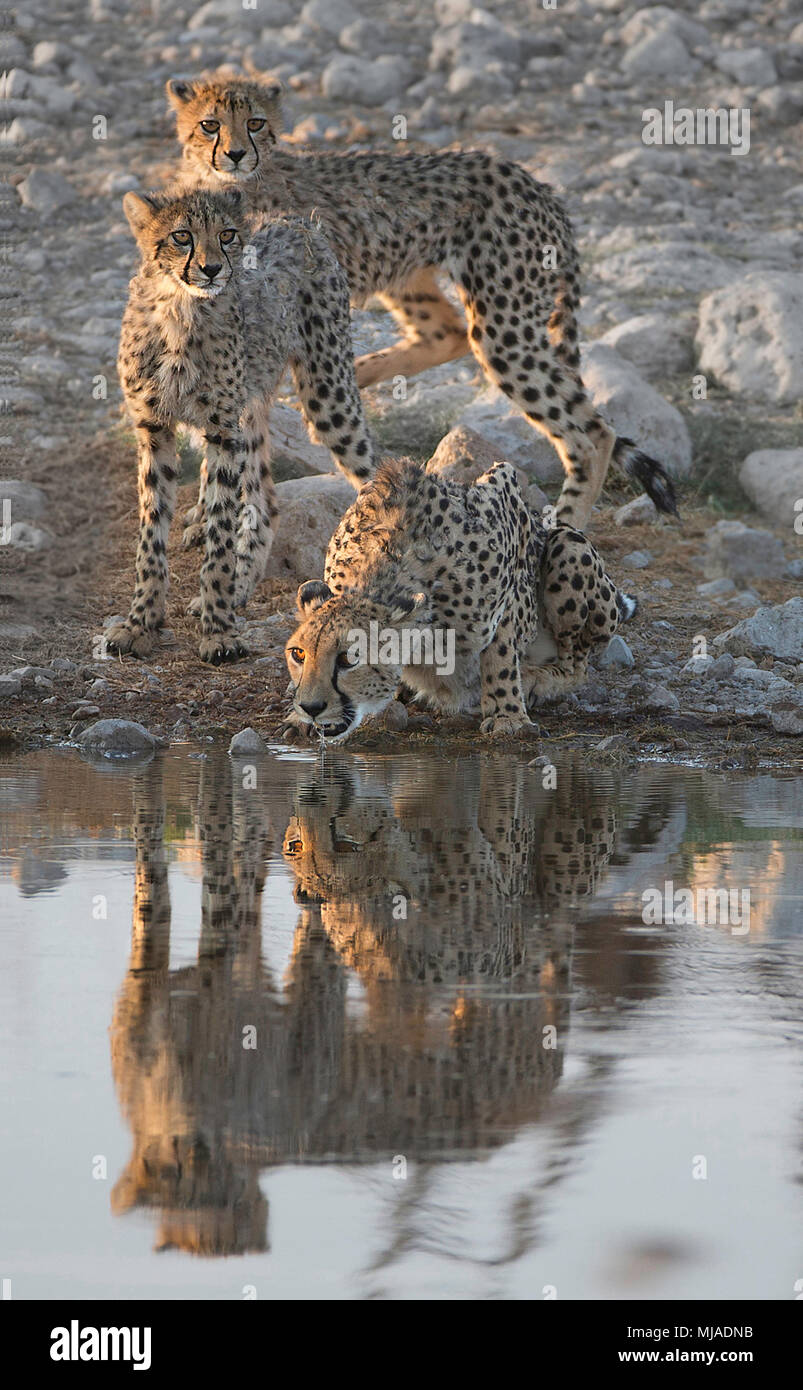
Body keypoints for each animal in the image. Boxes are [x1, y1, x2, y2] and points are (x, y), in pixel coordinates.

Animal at [107, 185, 376, 665]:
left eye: (227, 234)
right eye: (181, 236)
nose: (212, 268)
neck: (180, 310)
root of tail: (296, 220)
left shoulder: (220, 431)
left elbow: (219, 530)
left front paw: (219, 632)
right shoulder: (155, 429)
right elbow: (151, 535)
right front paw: (141, 623)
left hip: (327, 394)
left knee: (375, 478)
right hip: (251, 414)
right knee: (265, 502)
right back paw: (237, 590)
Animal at [166, 72, 678, 533]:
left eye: (255, 123)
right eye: (210, 124)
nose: (235, 154)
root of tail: (540, 187)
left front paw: (210, 516)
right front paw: (205, 514)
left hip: (503, 326)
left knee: (593, 433)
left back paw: (567, 525)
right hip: (408, 278)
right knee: (447, 334)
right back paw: (364, 371)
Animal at [283, 455, 637, 742]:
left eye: (348, 659)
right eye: (298, 654)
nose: (311, 707)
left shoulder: (507, 506)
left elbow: (501, 654)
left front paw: (508, 716)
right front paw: (297, 719)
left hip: (568, 545)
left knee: (577, 664)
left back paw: (539, 680)